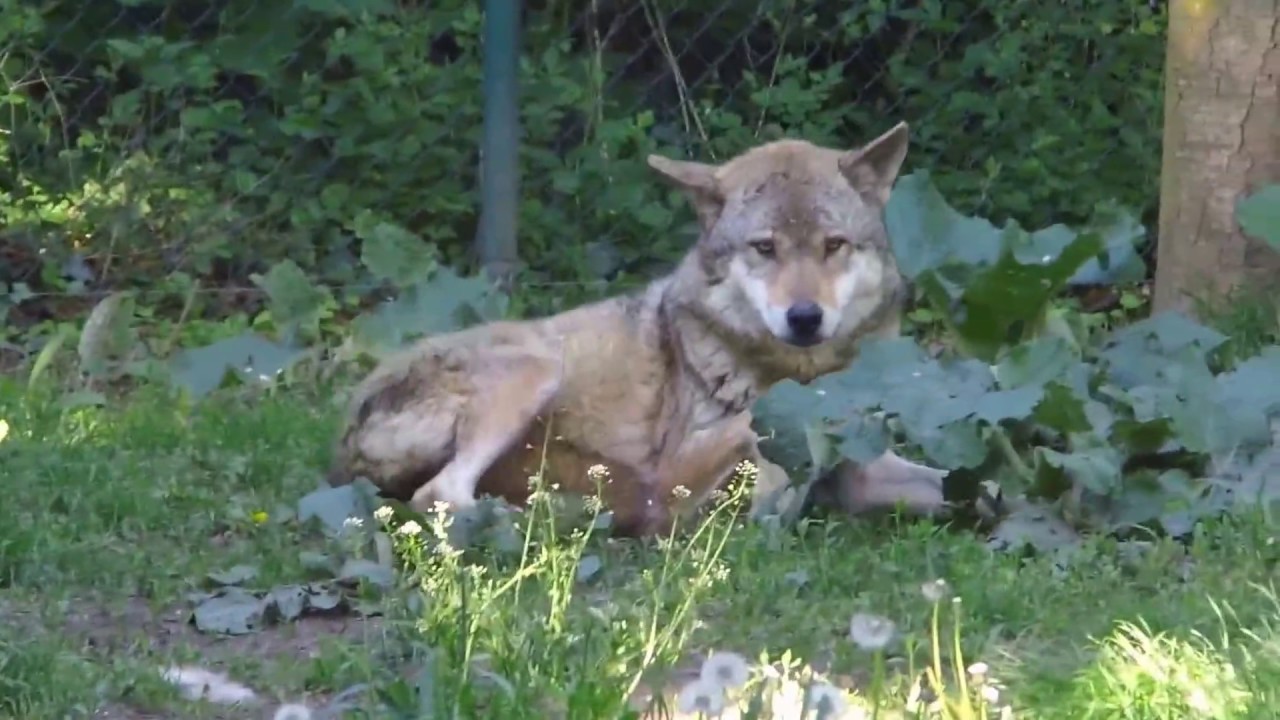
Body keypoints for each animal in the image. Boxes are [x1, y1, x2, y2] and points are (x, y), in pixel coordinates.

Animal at [327, 122, 946, 536]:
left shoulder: (870, 467)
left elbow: (942, 483)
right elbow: (754, 481)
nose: (805, 317)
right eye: (765, 248)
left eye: (833, 245)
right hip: (536, 367)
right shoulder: (699, 462)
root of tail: (346, 437)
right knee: (443, 496)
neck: (805, 379)